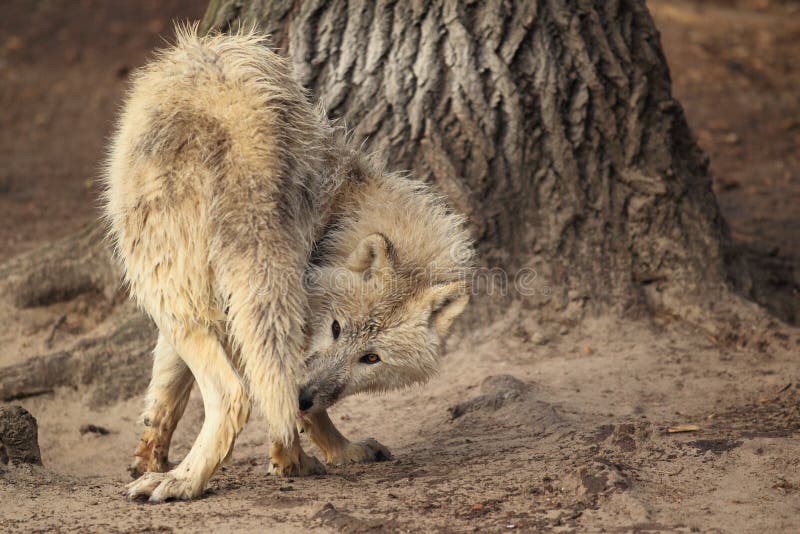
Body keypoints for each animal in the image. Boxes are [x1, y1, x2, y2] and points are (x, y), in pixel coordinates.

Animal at [103, 26, 473, 502]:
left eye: (371, 358)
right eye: (335, 328)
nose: (306, 397)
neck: (338, 214)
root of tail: (247, 137)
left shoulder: (186, 292)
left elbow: (179, 386)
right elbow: (170, 388)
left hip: (162, 282)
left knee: (236, 394)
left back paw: (182, 482)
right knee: (263, 385)